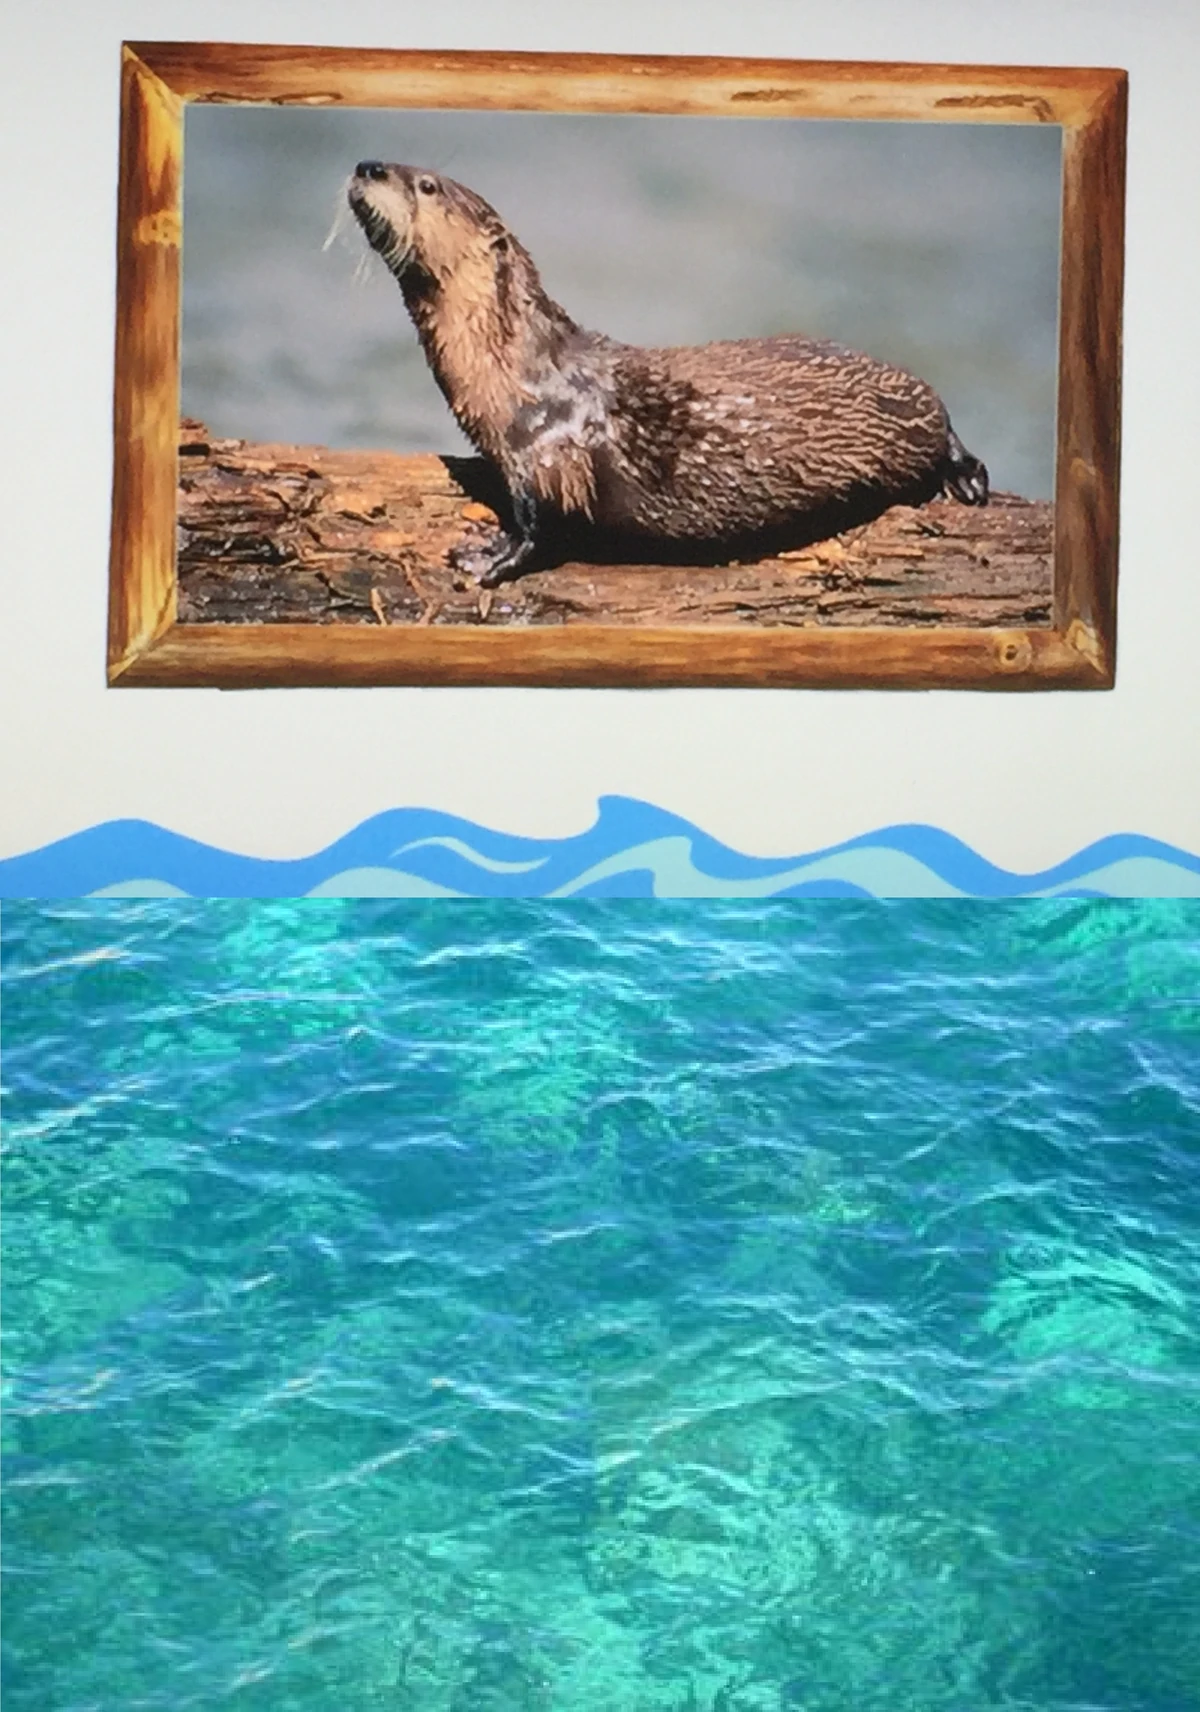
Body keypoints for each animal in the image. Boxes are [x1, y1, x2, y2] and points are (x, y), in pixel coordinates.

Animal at [348, 160, 988, 587]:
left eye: (427, 185)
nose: (368, 165)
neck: (517, 371)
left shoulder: (549, 455)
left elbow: (539, 529)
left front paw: (484, 558)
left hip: (911, 405)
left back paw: (965, 478)